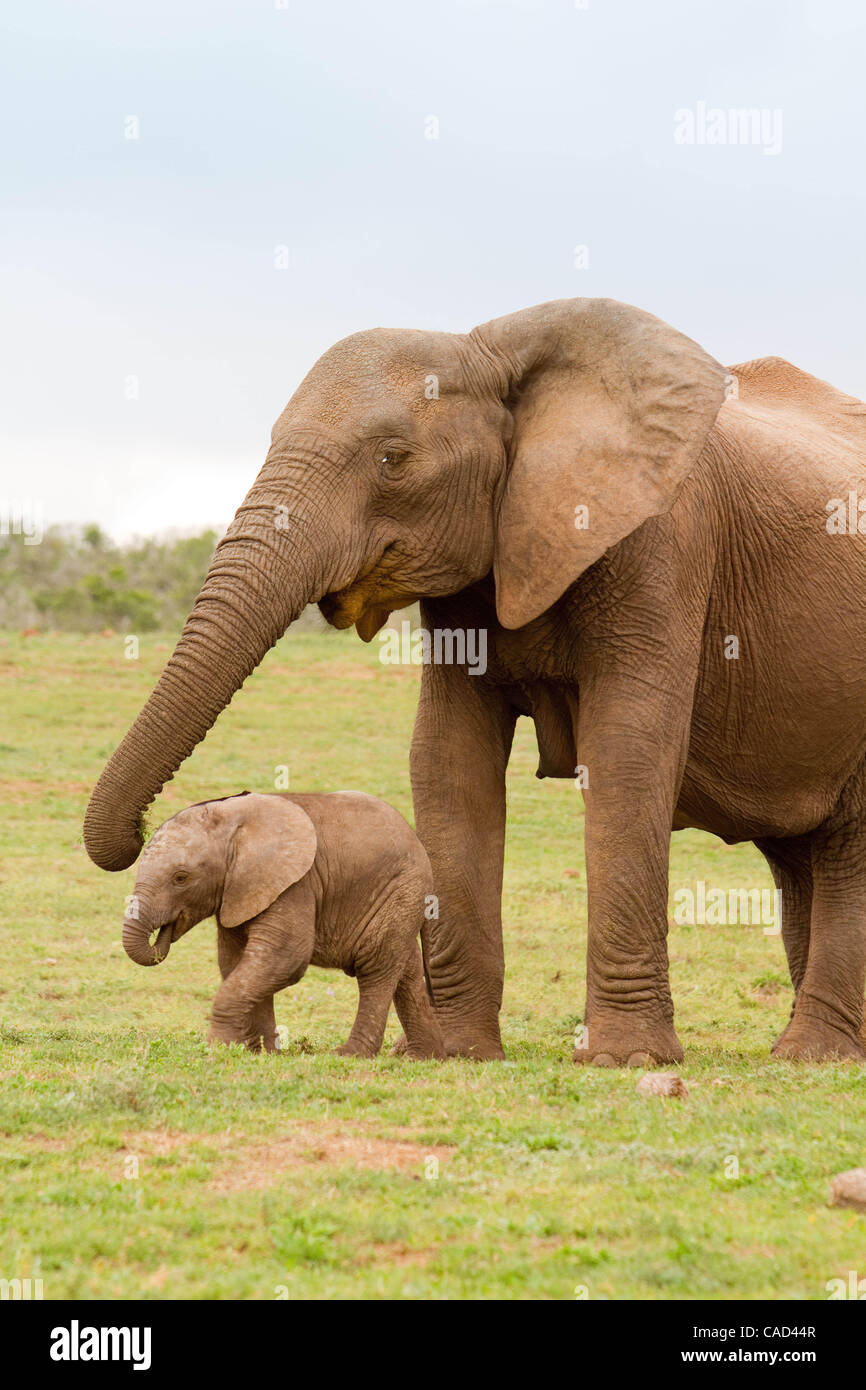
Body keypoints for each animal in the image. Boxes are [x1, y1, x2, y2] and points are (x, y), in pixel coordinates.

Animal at [122, 790, 445, 1058]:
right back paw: (423, 1057)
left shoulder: (295, 883)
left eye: (181, 878)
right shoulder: (238, 891)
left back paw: (349, 1054)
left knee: (375, 968)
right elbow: (237, 962)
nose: (163, 933)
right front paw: (261, 1052)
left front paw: (220, 1048)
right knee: (406, 971)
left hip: (400, 889)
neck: (233, 822)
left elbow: (284, 957)